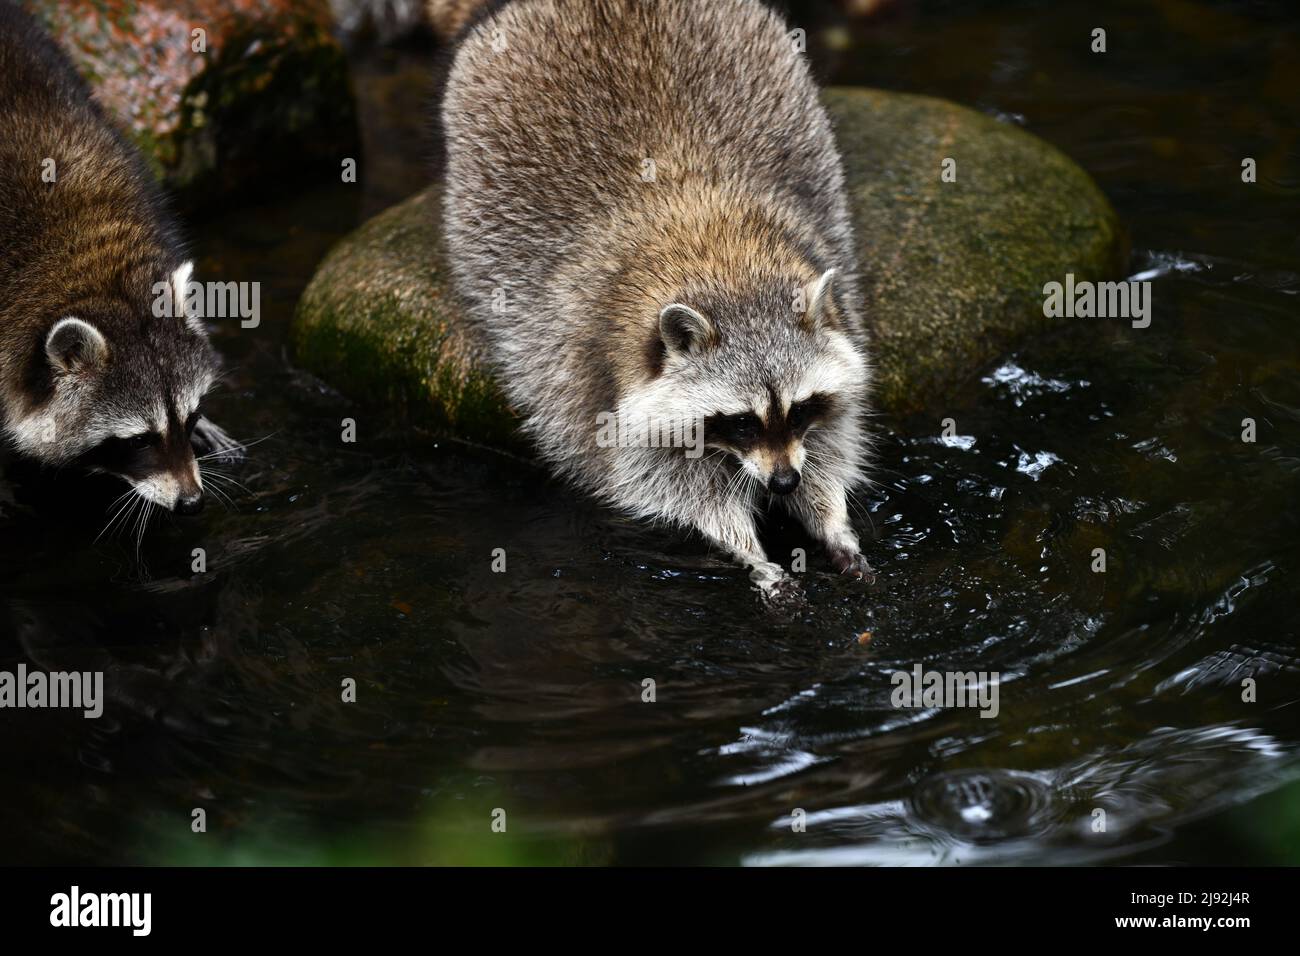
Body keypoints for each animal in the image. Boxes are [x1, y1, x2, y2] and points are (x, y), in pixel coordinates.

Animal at [437, 0, 874, 603]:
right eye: (741, 422)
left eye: (800, 408)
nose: (785, 481)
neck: (721, 259)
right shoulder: (589, 378)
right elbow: (664, 484)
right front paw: (747, 550)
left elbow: (830, 443)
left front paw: (832, 519)